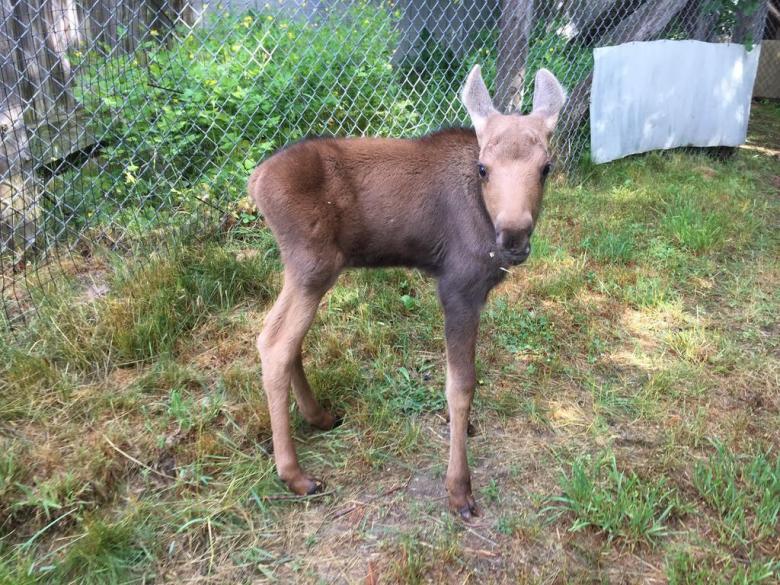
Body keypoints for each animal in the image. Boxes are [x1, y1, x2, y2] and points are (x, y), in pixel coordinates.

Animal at [248, 65, 566, 520]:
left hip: (303, 269)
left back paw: (319, 416)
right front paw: (459, 489)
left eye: (546, 167)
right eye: (483, 168)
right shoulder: (458, 286)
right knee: (274, 342)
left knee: (286, 338)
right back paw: (294, 474)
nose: (514, 238)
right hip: (312, 265)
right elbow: (460, 385)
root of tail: (255, 182)